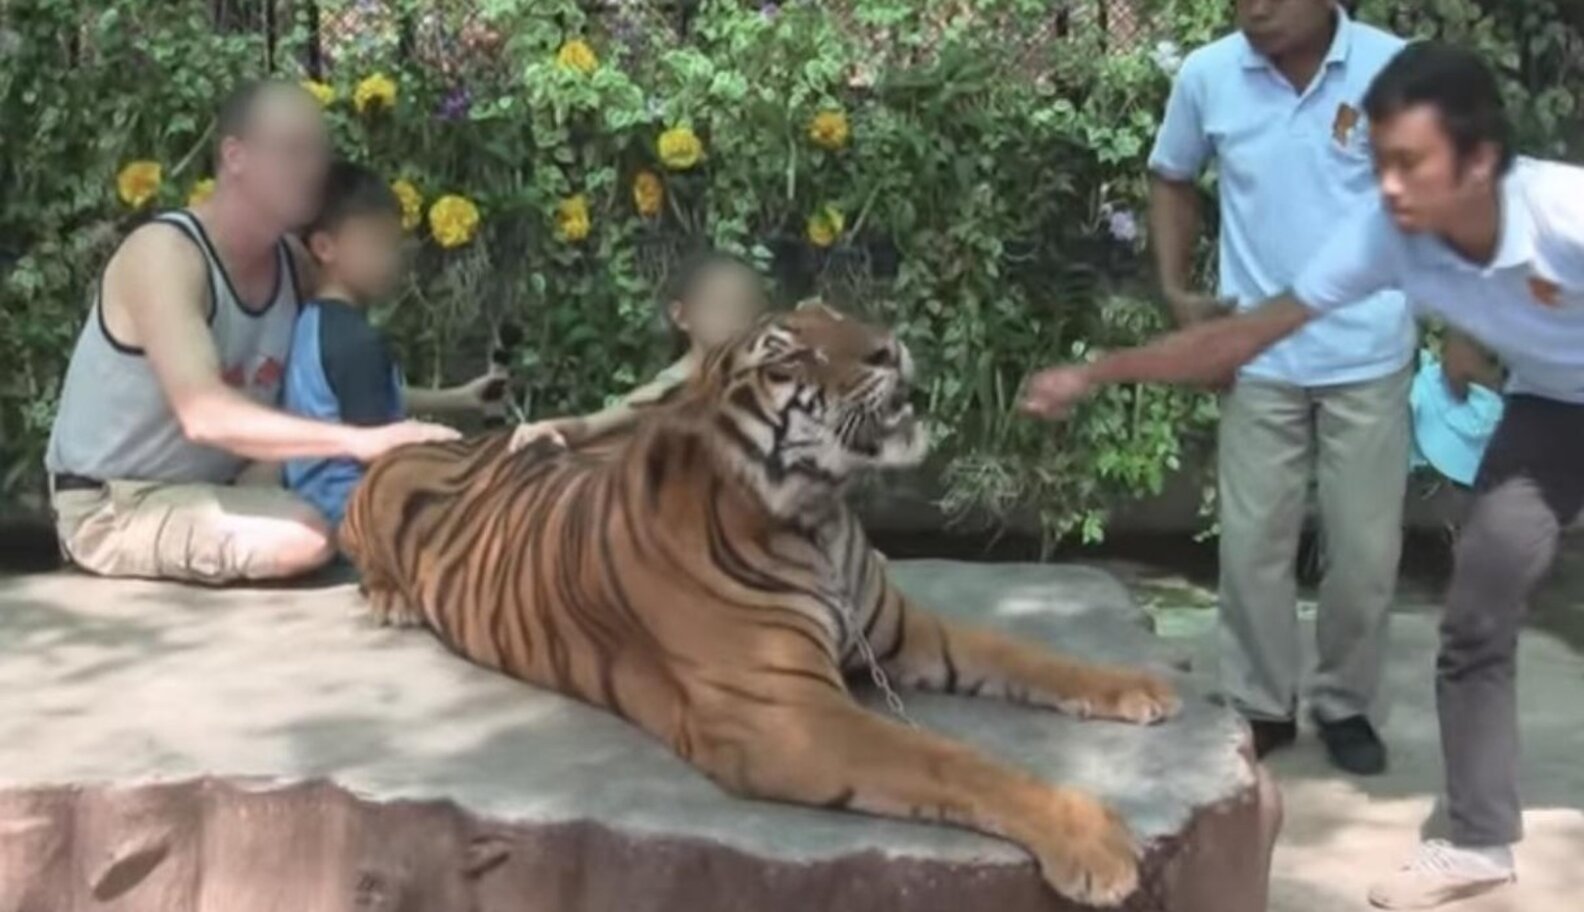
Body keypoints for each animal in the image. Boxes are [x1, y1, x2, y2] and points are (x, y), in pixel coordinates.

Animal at [339, 301, 1180, 907]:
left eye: (838, 314)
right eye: (788, 354)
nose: (889, 346)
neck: (819, 517)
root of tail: (456, 440)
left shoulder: (903, 631)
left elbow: (1025, 652)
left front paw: (1140, 685)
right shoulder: (790, 714)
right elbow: (952, 760)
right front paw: (1093, 839)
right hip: (373, 488)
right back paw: (391, 600)